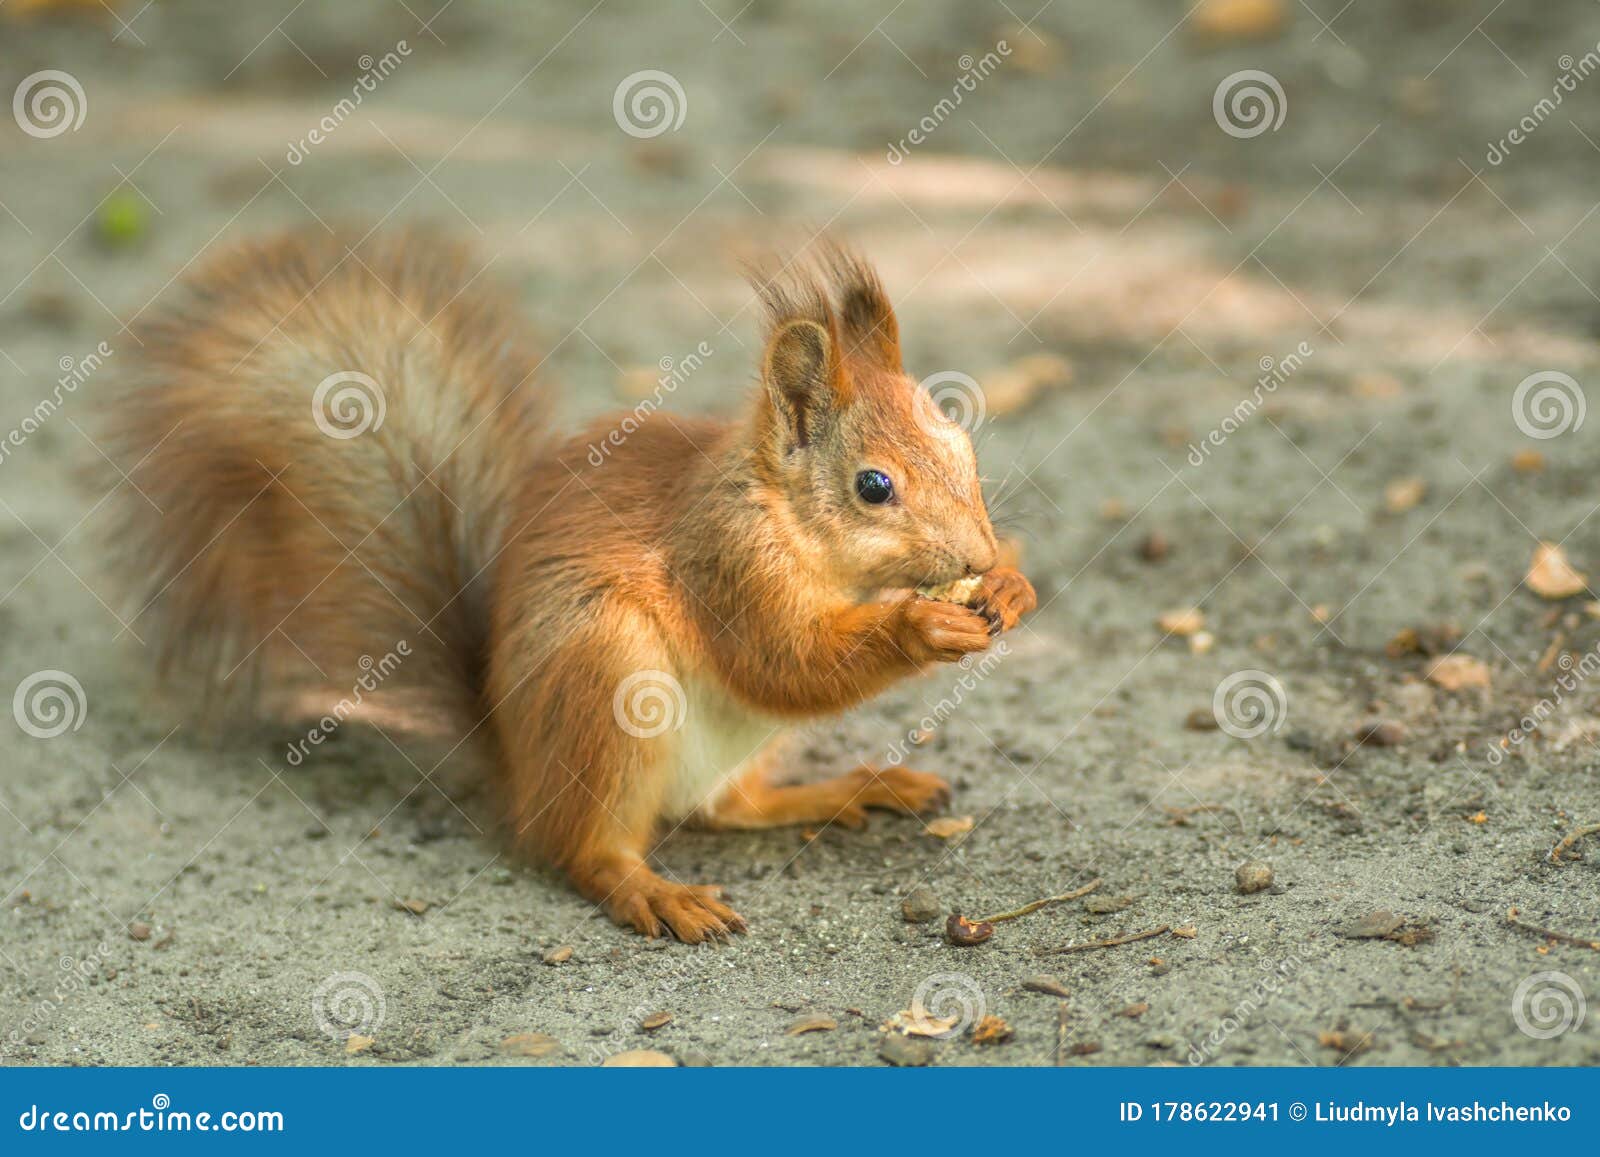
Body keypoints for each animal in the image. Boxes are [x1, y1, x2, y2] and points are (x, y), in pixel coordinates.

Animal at [101, 228, 1037, 942]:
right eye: (873, 486)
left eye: (963, 446)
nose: (978, 549)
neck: (785, 517)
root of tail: (515, 758)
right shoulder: (725, 562)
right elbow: (780, 661)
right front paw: (922, 625)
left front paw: (1012, 585)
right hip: (607, 674)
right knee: (584, 848)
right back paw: (653, 888)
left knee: (728, 806)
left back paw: (854, 785)